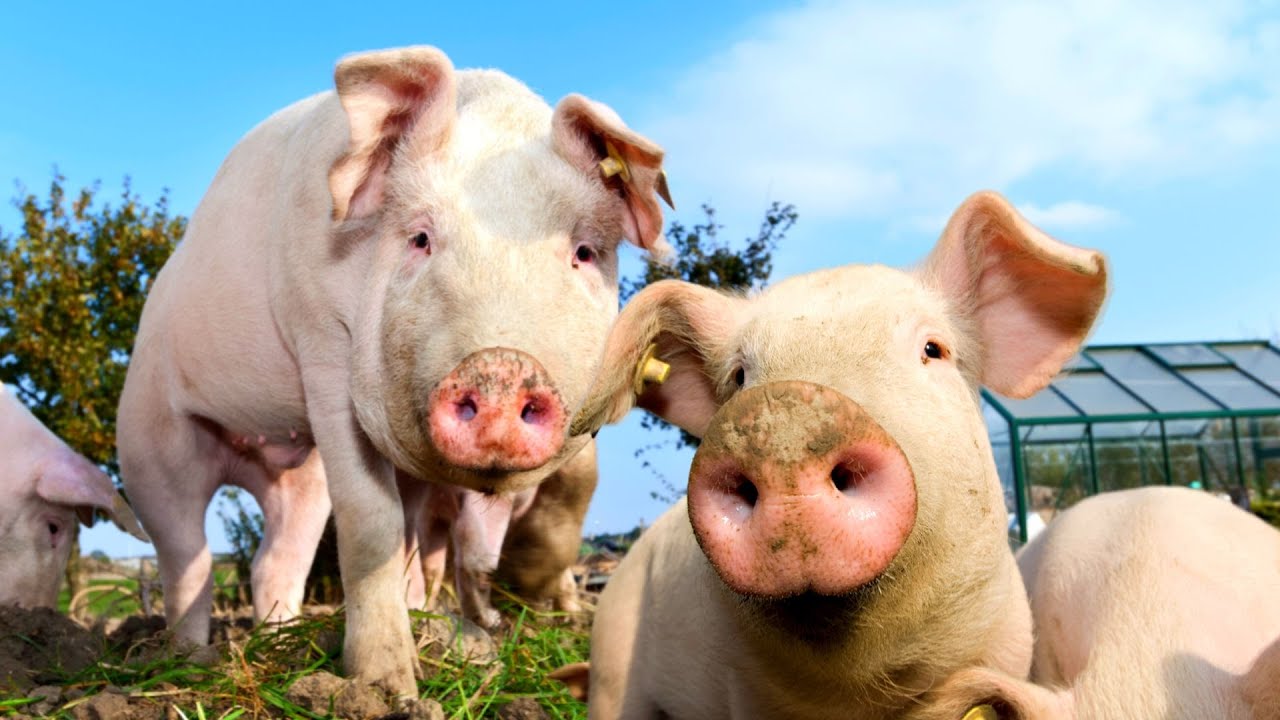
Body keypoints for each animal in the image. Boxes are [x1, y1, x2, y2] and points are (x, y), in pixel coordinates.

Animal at [565, 191, 1109, 719]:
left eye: (933, 349)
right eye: (738, 377)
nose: (785, 416)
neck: (863, 693)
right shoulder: (746, 690)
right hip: (613, 651)